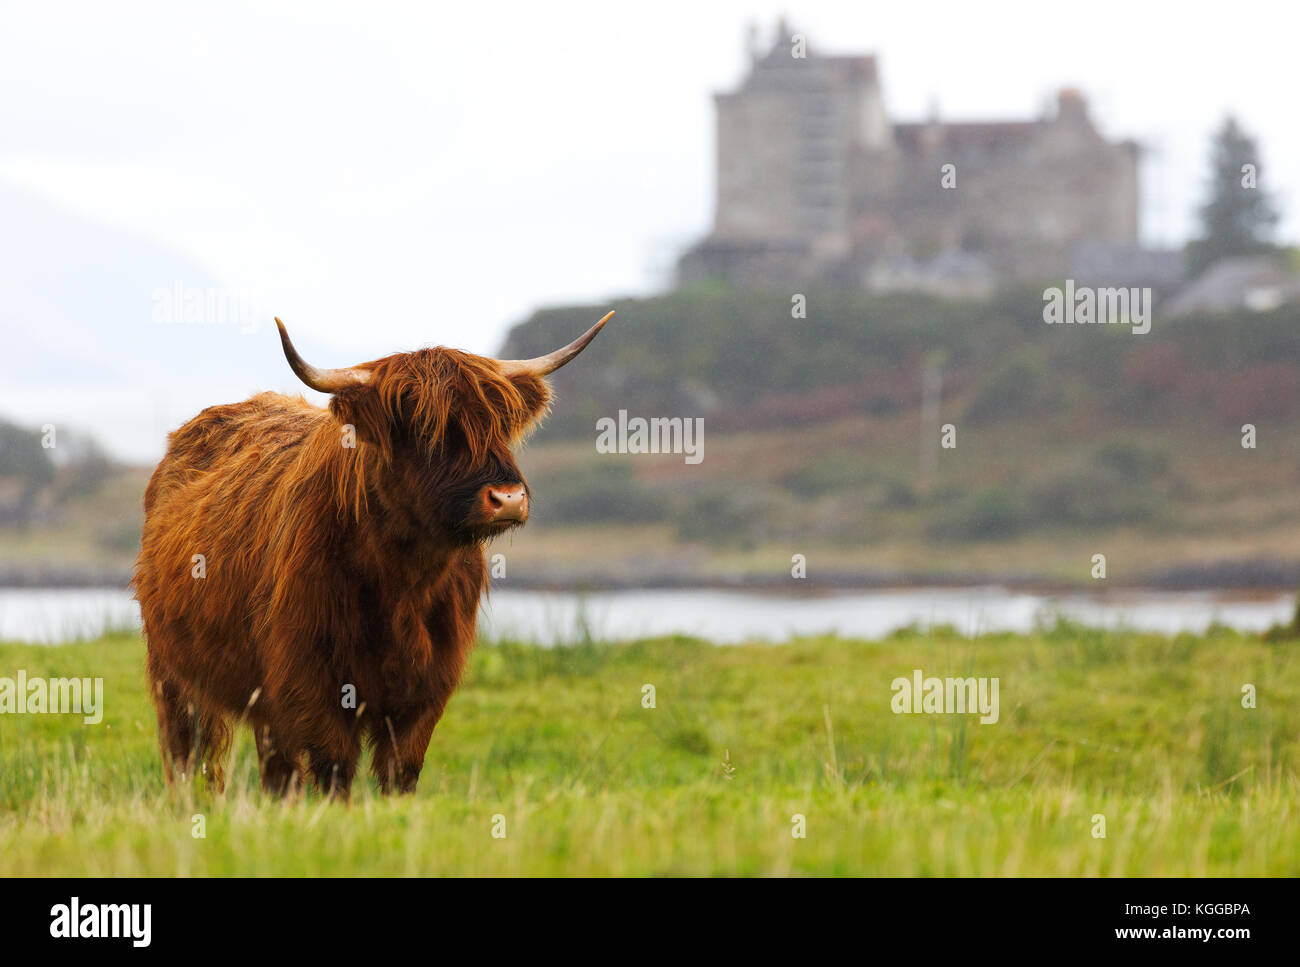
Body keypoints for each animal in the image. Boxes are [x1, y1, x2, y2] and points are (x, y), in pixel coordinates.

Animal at [132, 310, 614, 798]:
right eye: (423, 428)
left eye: (498, 423)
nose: (508, 498)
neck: (404, 582)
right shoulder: (310, 681)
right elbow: (333, 768)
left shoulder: (430, 685)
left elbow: (402, 769)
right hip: (173, 672)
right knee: (187, 752)